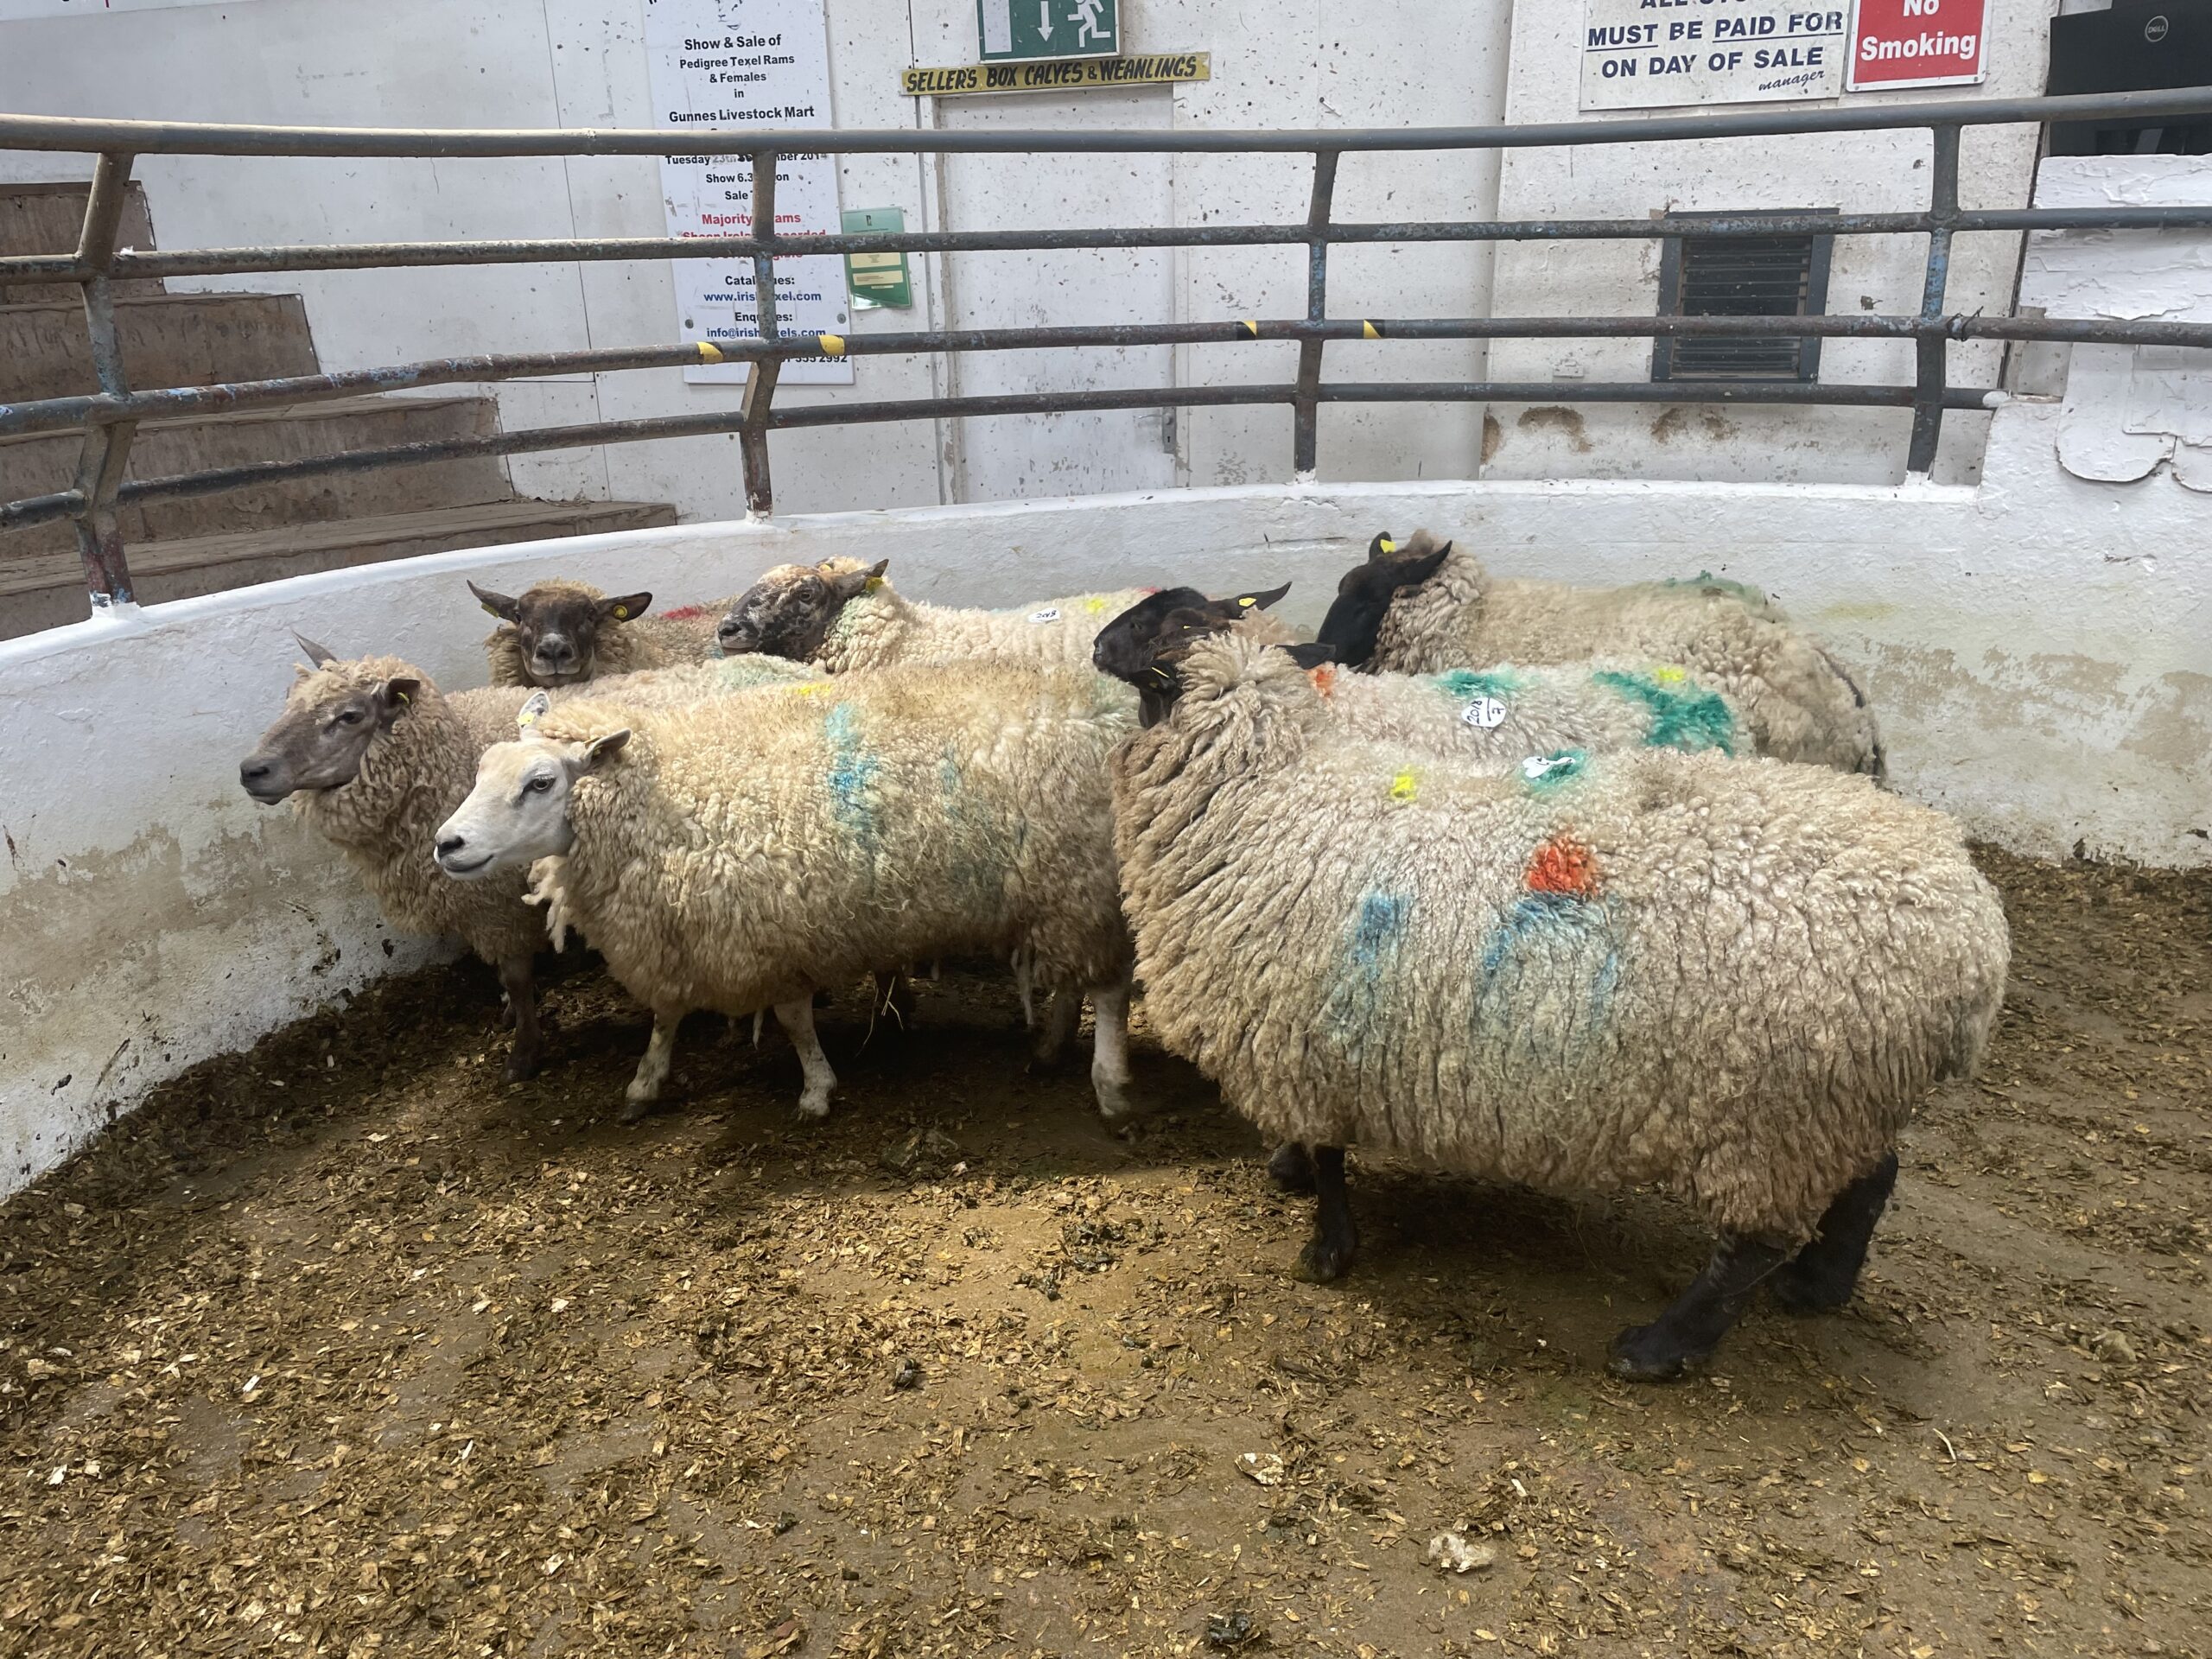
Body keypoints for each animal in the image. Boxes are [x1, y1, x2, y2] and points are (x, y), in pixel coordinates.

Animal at [238, 641, 824, 1079]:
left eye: (349, 715)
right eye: (289, 700)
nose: (251, 771)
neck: (451, 752)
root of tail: (791, 665)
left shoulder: (498, 906)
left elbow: (518, 978)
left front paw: (523, 1053)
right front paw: (506, 1014)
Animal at [430, 662, 1139, 1124]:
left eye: (541, 782)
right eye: (481, 771)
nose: (446, 844)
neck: (661, 797)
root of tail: (1117, 710)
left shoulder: (767, 937)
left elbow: (796, 1023)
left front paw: (816, 1093)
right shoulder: (682, 934)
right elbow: (666, 1016)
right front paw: (644, 1085)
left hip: (1085, 884)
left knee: (1107, 990)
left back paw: (1110, 1088)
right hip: (1061, 896)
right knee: (1073, 981)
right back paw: (1049, 1050)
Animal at [1100, 628, 2009, 1381]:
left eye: (1145, 657)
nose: (1095, 655)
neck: (1263, 792)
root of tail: (1977, 924)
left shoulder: (1306, 1033)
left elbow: (1328, 1157)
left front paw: (1325, 1247)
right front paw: (1291, 1177)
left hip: (1783, 1110)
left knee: (1755, 1243)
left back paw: (1661, 1349)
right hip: (1845, 1095)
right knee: (1872, 1180)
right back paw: (1818, 1288)